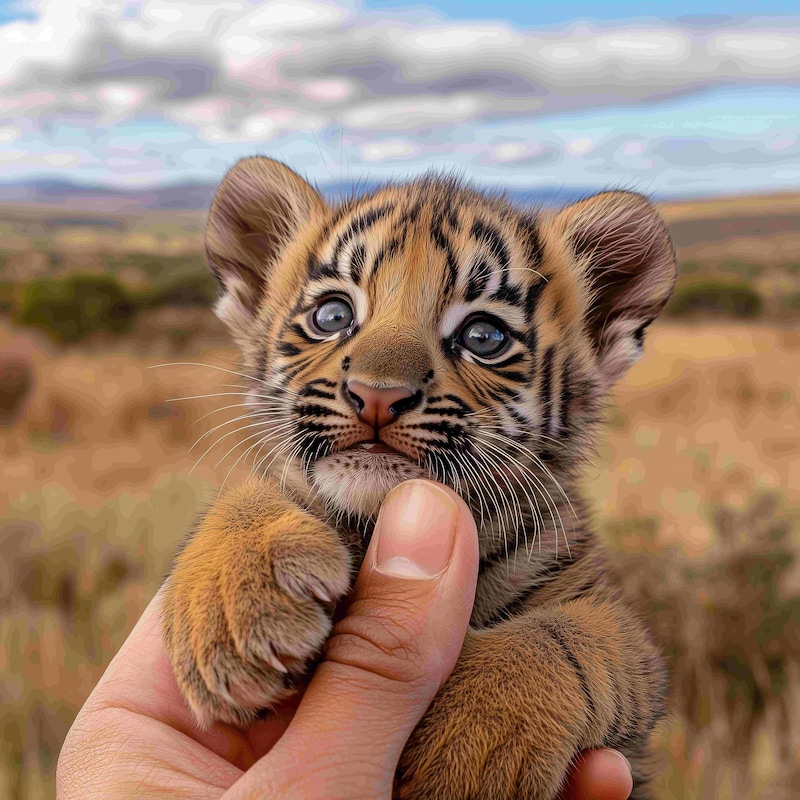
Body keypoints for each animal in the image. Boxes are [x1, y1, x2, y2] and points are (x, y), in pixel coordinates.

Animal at [161, 156, 675, 799]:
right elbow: (255, 492)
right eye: (332, 315)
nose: (377, 396)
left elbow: (570, 639)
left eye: (484, 336)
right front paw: (233, 610)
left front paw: (474, 752)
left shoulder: (618, 628)